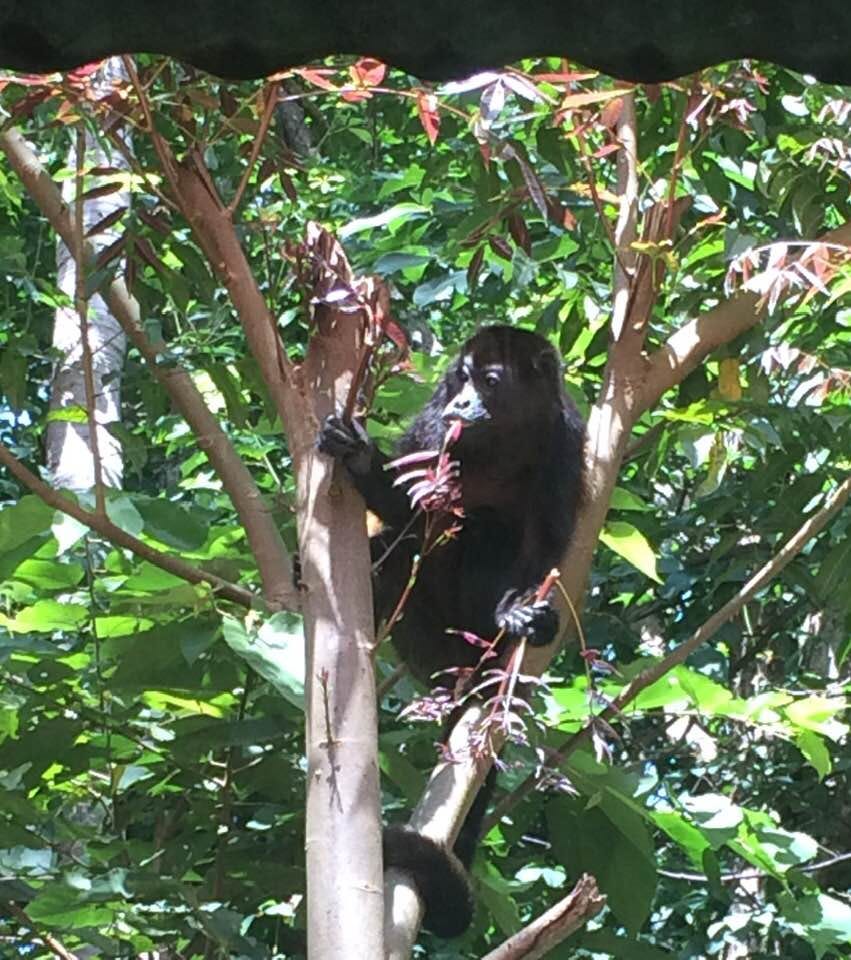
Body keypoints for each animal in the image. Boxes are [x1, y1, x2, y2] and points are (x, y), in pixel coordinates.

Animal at [318, 325, 586, 937]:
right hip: (420, 633)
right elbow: (410, 508)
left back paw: (506, 627)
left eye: (489, 380)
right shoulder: (435, 424)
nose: (463, 404)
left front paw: (527, 610)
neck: (508, 437)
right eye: (458, 380)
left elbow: (548, 544)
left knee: (490, 529)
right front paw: (362, 457)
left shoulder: (567, 442)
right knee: (403, 547)